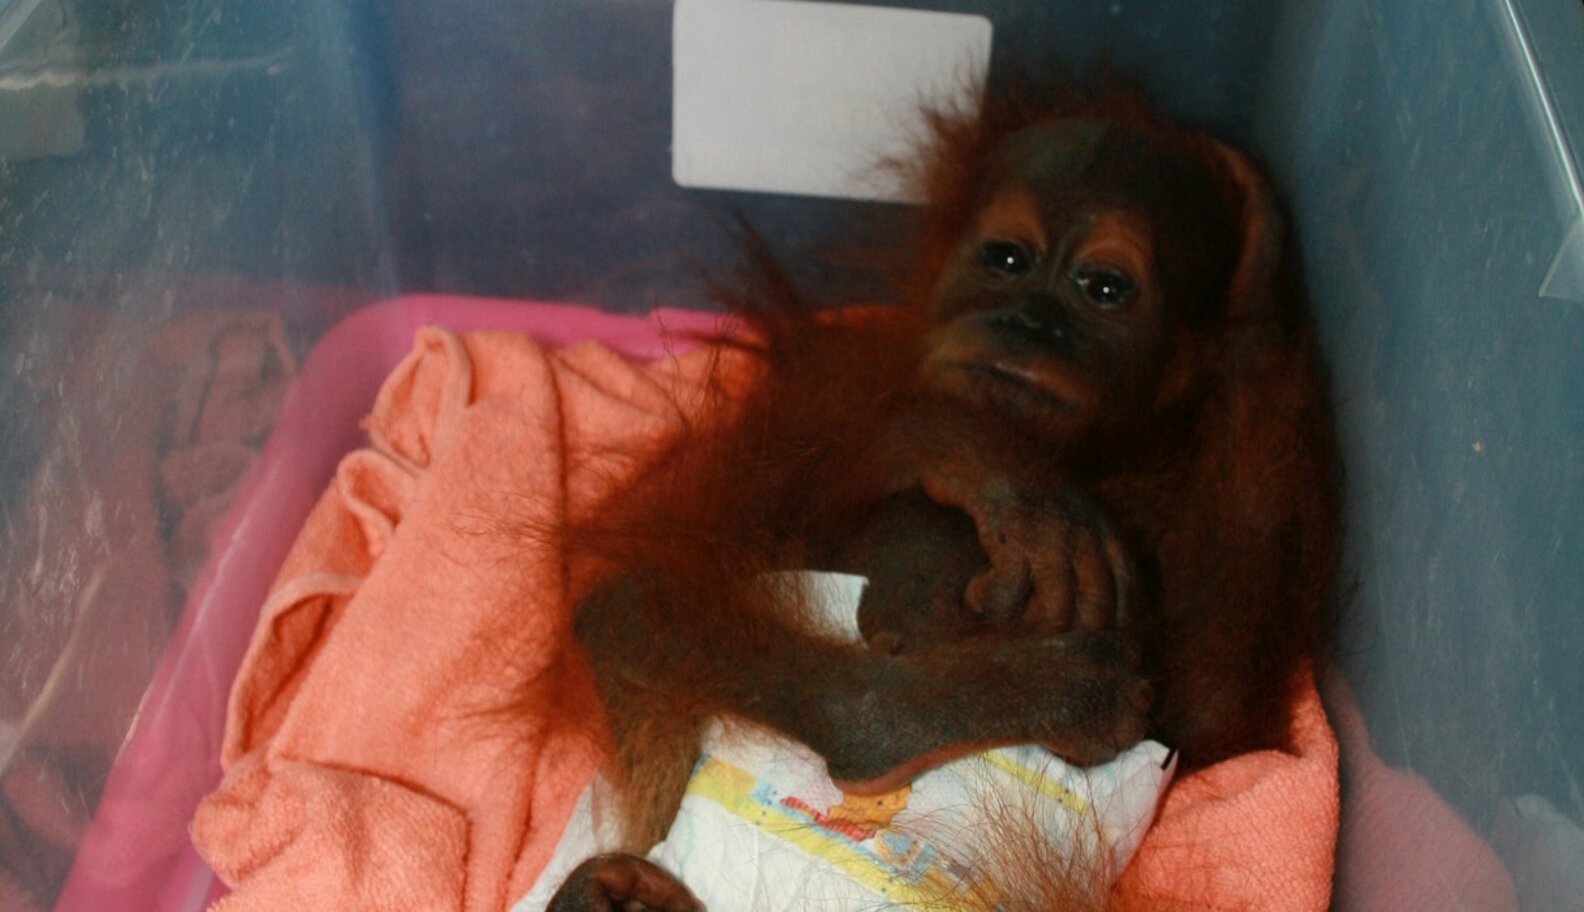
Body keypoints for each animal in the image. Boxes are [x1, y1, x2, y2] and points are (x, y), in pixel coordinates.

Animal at [541, 79, 1338, 911]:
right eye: (1008, 258)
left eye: (1104, 289)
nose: (1029, 321)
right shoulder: (817, 372)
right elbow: (704, 533)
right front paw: (984, 463)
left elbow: (1217, 718)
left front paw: (1259, 260)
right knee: (630, 606)